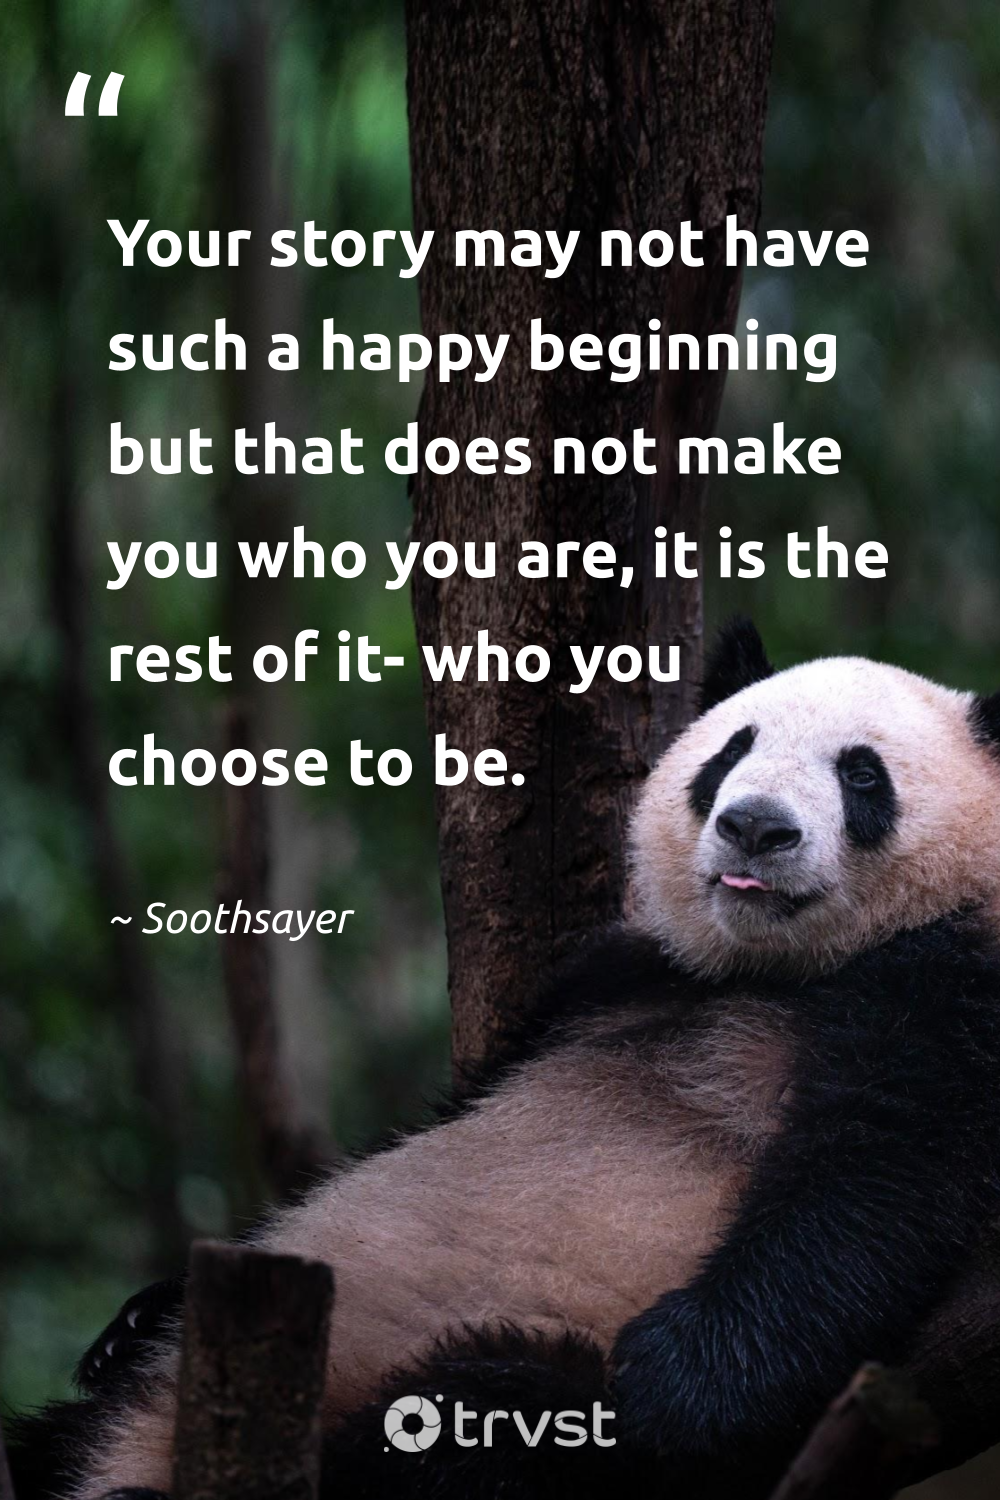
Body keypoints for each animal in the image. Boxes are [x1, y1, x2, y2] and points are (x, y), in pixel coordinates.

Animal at [12, 618, 1000, 1500]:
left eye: (862, 773)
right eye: (731, 751)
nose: (754, 826)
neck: (774, 972)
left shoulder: (950, 996)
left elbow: (871, 1179)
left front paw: (672, 1379)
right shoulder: (609, 981)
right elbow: (472, 1094)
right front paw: (140, 1307)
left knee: (474, 1431)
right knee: (54, 1435)